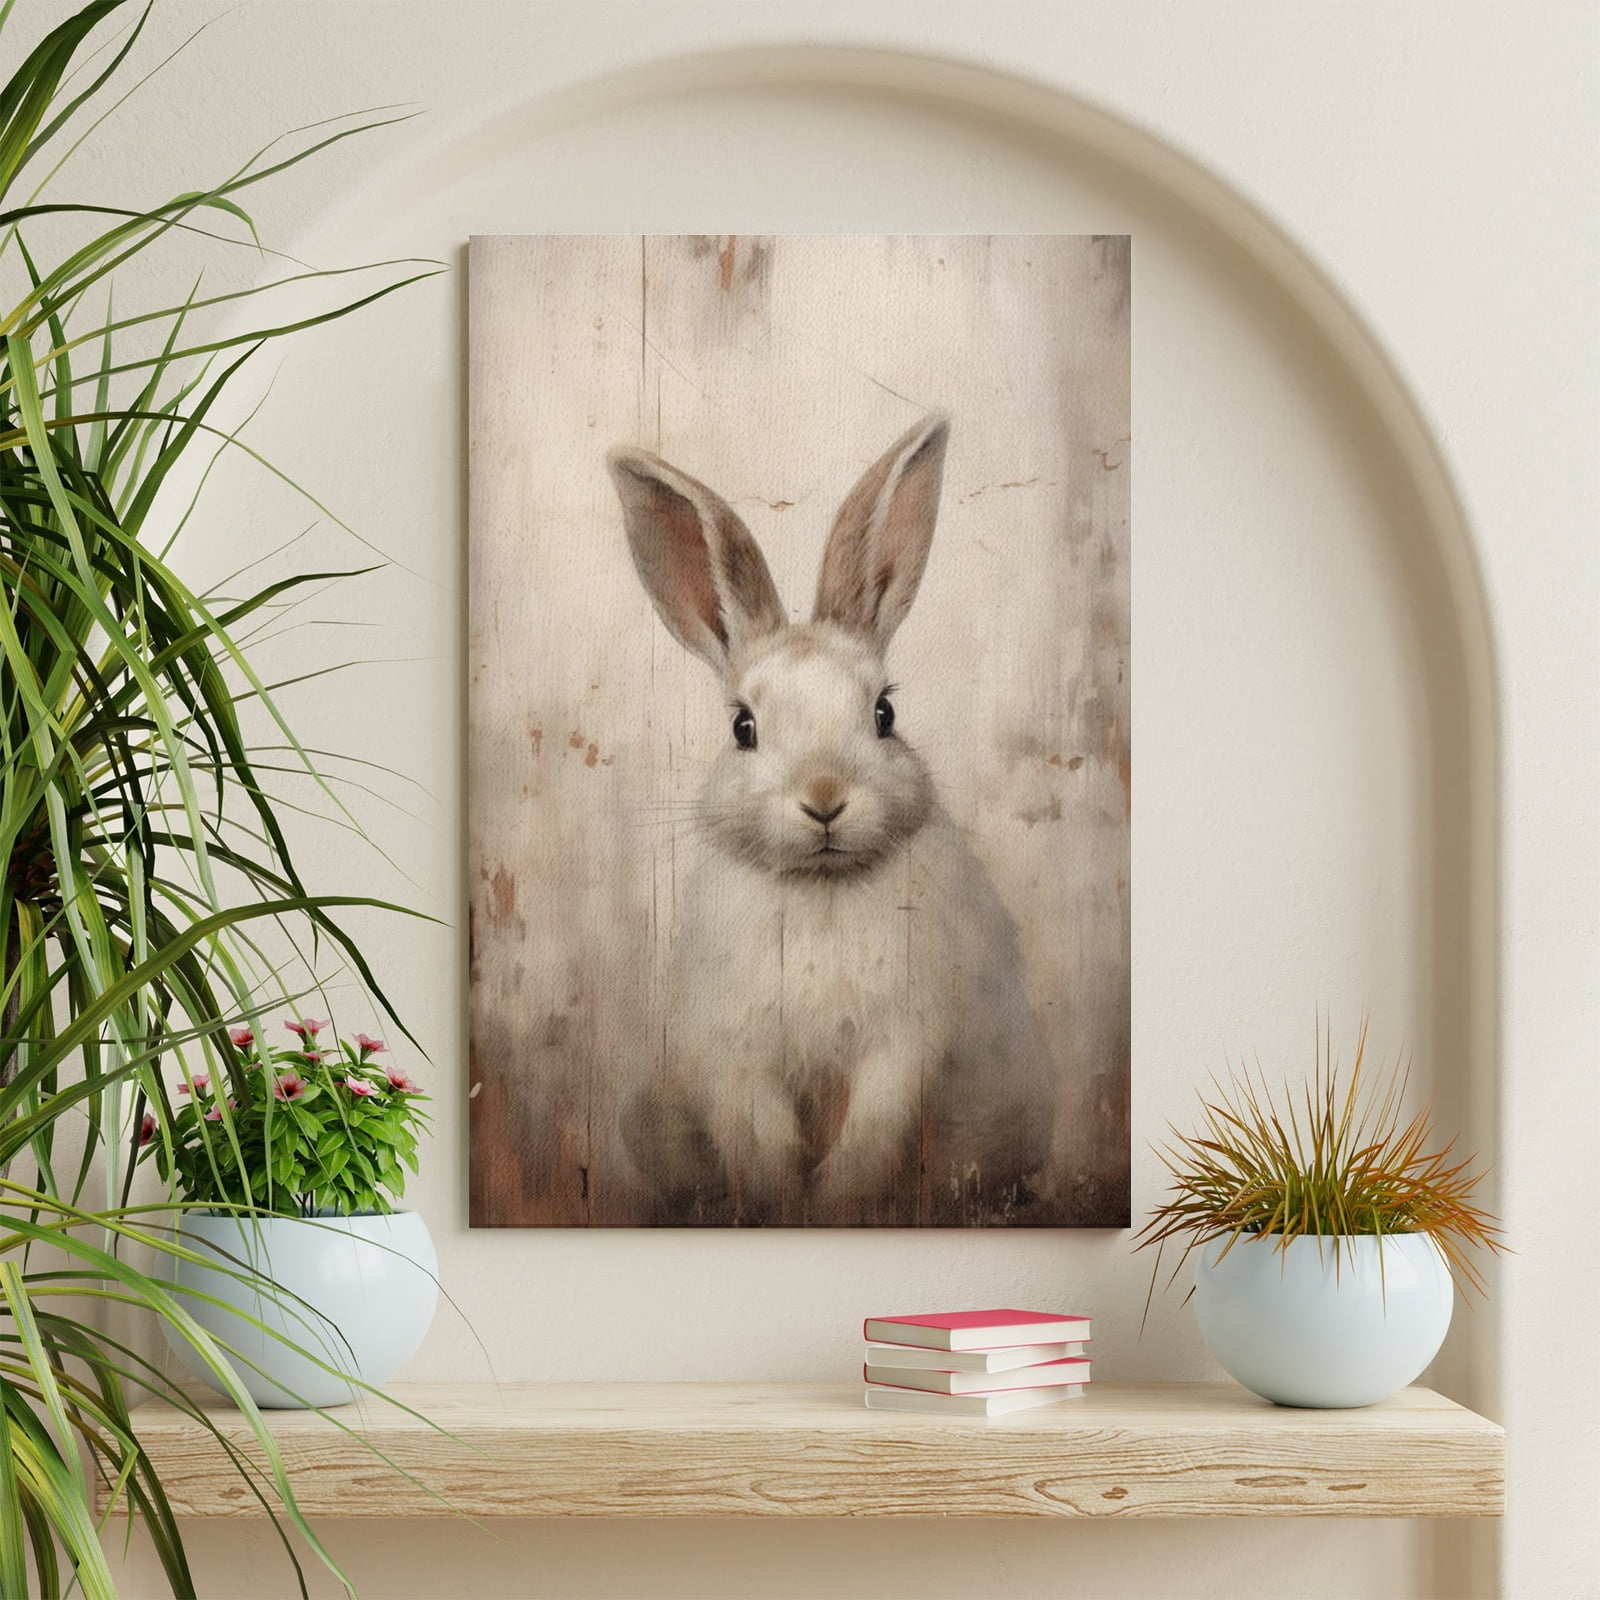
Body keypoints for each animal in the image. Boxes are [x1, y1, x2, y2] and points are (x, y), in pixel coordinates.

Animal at [607, 415, 1058, 1224]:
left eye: (884, 715)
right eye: (743, 728)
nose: (824, 798)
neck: (818, 887)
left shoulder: (900, 1046)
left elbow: (870, 1138)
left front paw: (839, 1208)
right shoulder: (735, 1054)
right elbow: (762, 1146)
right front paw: (782, 1209)